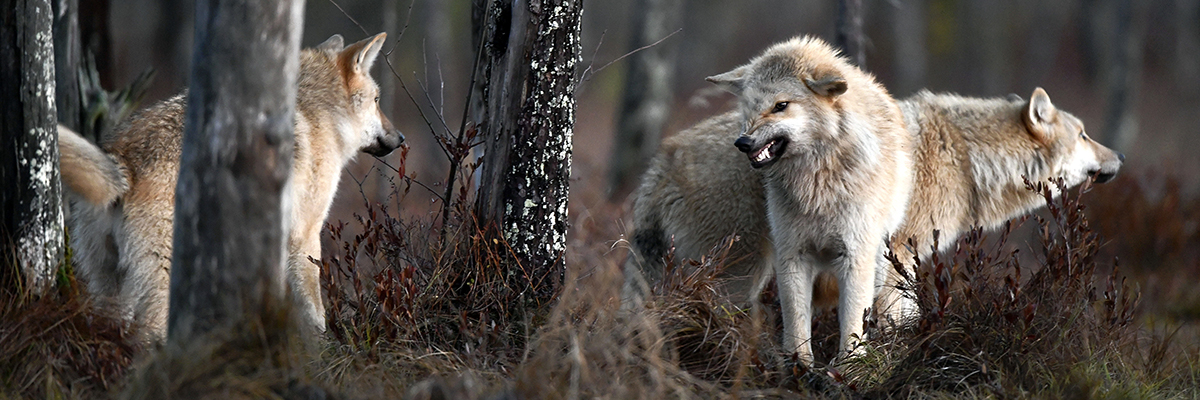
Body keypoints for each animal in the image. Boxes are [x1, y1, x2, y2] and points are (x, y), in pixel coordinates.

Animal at [59, 33, 404, 342]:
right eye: (377, 100)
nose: (400, 138)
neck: (323, 112)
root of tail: (124, 159)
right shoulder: (304, 235)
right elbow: (314, 314)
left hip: (110, 285)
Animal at [625, 82, 1124, 358]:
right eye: (1084, 135)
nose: (1119, 157)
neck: (965, 158)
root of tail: (663, 157)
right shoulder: (898, 252)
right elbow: (900, 318)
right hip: (746, 270)